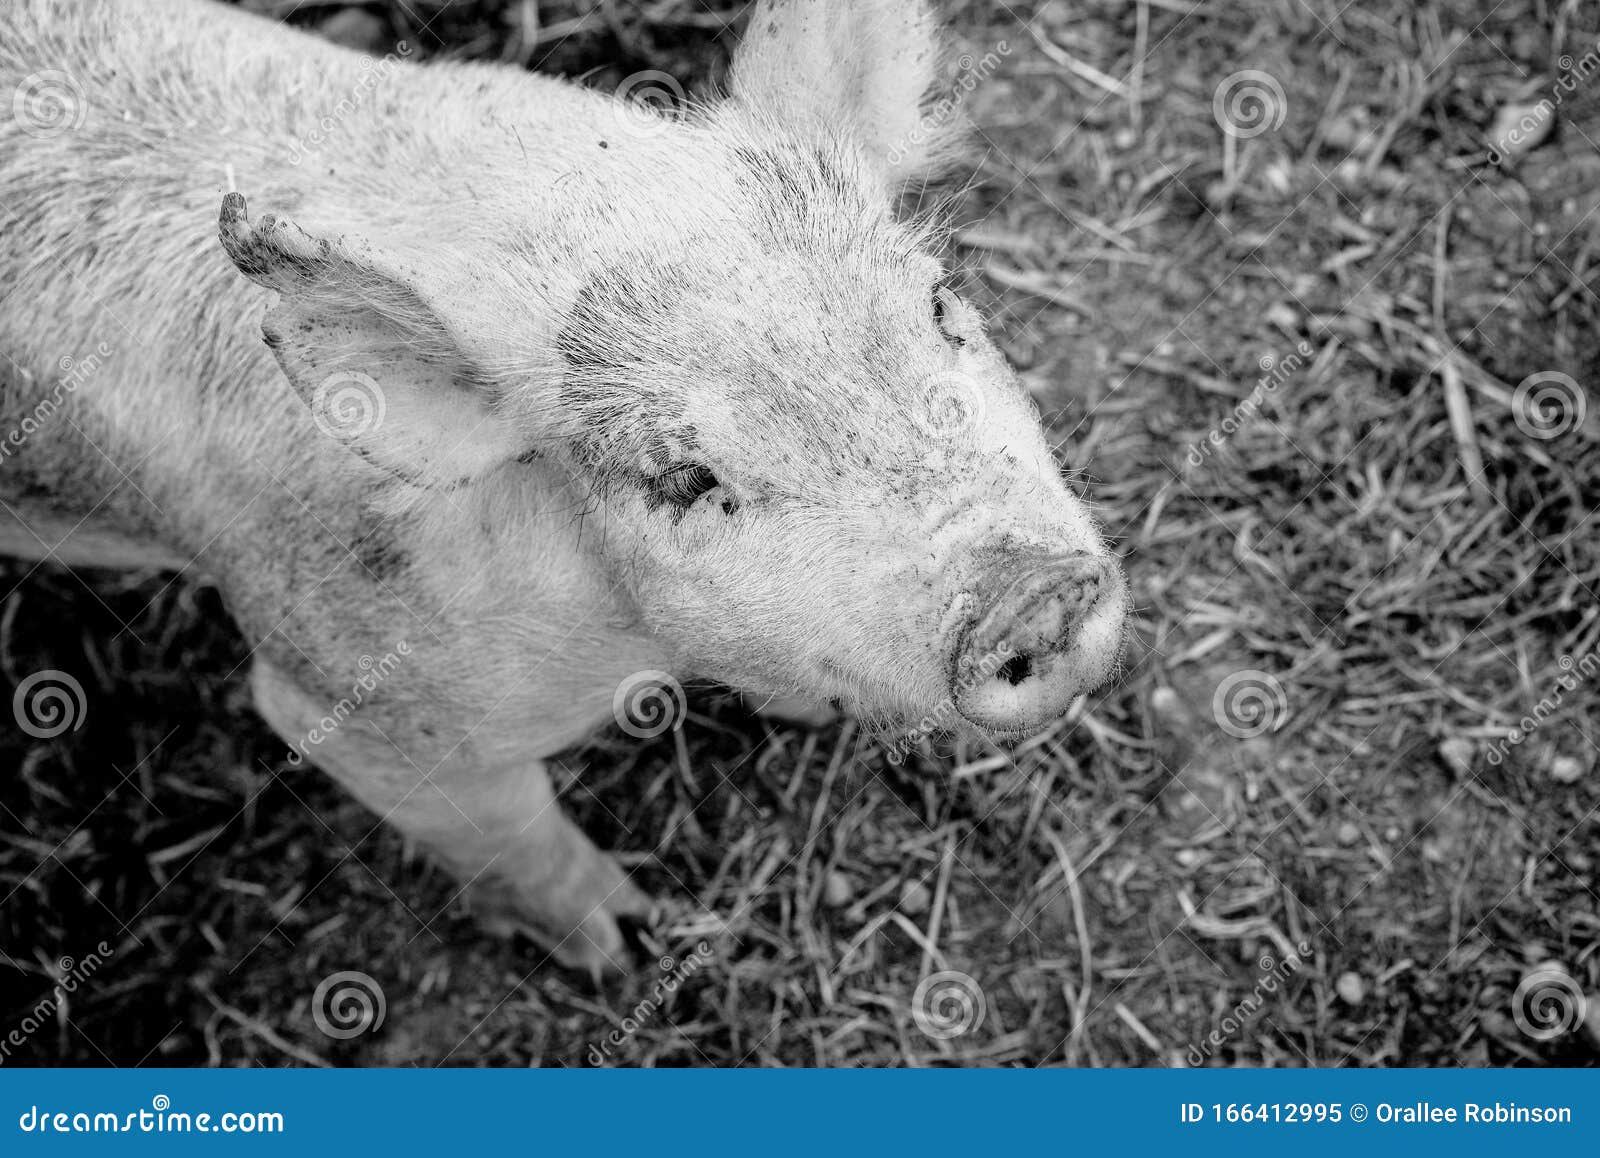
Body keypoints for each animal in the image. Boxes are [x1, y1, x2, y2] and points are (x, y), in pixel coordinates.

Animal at [0, 0, 1128, 975]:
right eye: (684, 479)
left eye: (939, 305)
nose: (1029, 594)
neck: (635, 649)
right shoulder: (337, 697)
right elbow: (507, 829)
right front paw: (629, 943)